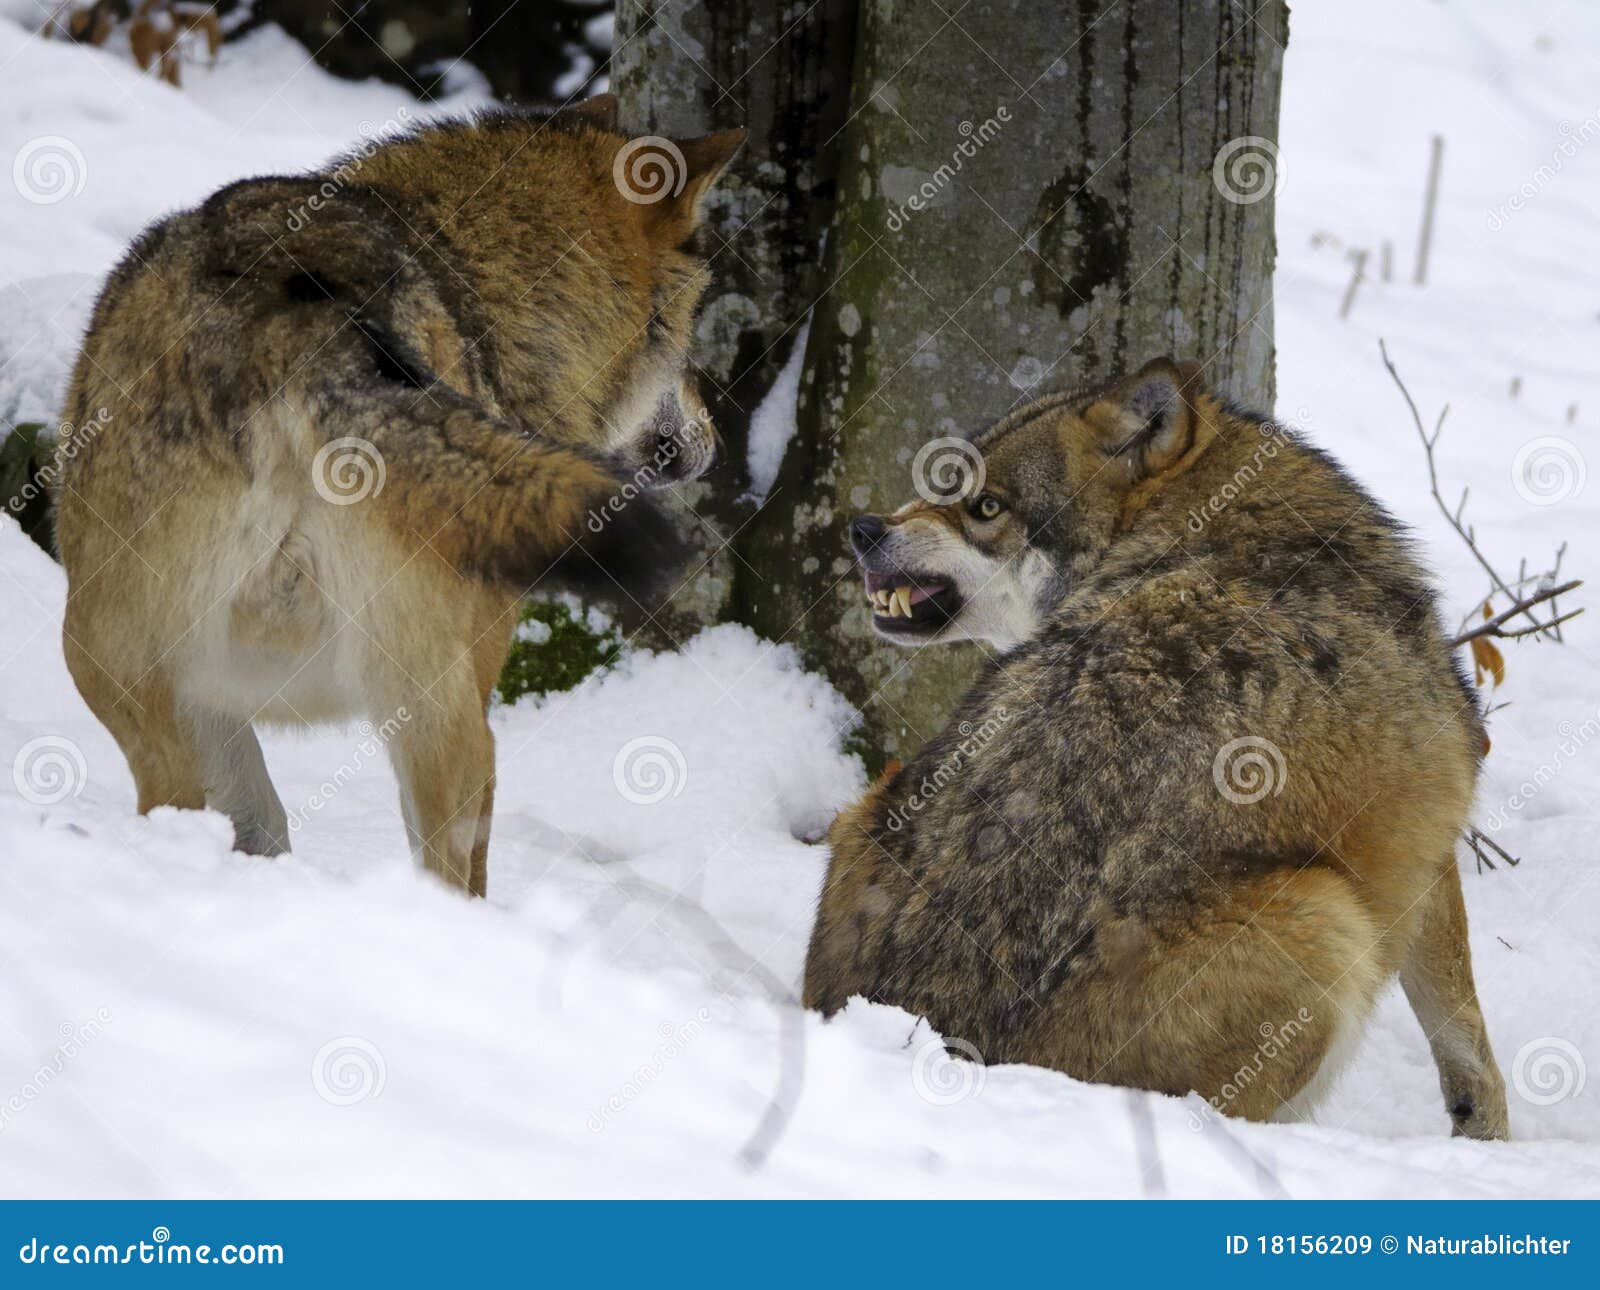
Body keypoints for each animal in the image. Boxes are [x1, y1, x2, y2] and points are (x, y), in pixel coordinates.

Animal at [52, 96, 742, 897]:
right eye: (690, 336)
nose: (714, 444)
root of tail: (297, 315)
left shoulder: (208, 704)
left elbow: (259, 820)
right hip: (443, 714)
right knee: (445, 872)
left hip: (121, 674)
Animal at [804, 357, 1508, 1137]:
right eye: (944, 484)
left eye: (984, 506)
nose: (864, 529)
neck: (1193, 529)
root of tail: (938, 1043)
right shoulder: (1433, 839)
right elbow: (1467, 1037)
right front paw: (1488, 1142)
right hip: (1325, 918)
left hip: (863, 810)